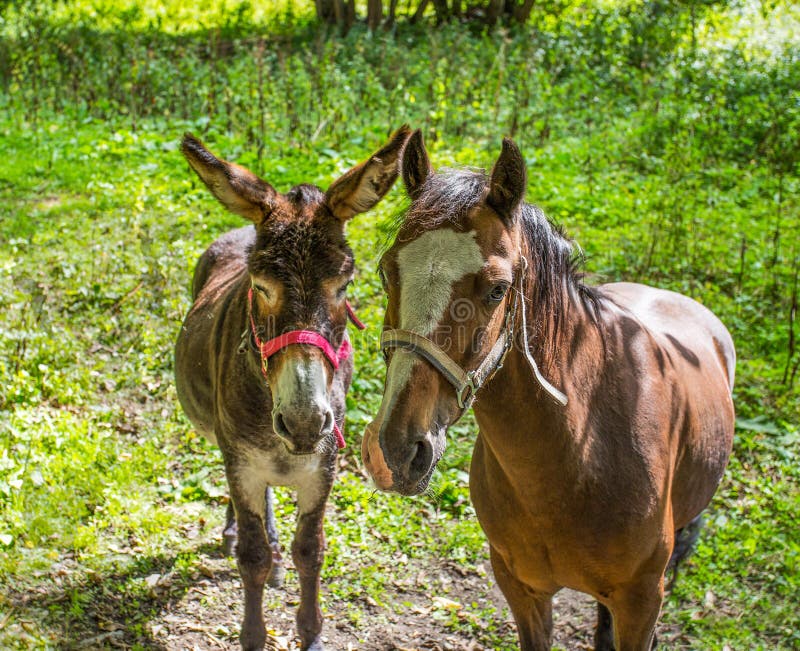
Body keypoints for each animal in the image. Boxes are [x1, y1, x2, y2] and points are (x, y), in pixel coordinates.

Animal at [174, 125, 409, 651]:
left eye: (344, 286)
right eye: (260, 286)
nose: (302, 423)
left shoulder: (322, 467)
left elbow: (311, 552)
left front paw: (310, 632)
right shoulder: (241, 462)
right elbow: (253, 557)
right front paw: (254, 633)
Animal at [361, 130, 735, 650]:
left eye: (498, 290)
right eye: (385, 271)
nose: (393, 450)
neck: (578, 451)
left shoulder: (643, 603)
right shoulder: (522, 590)